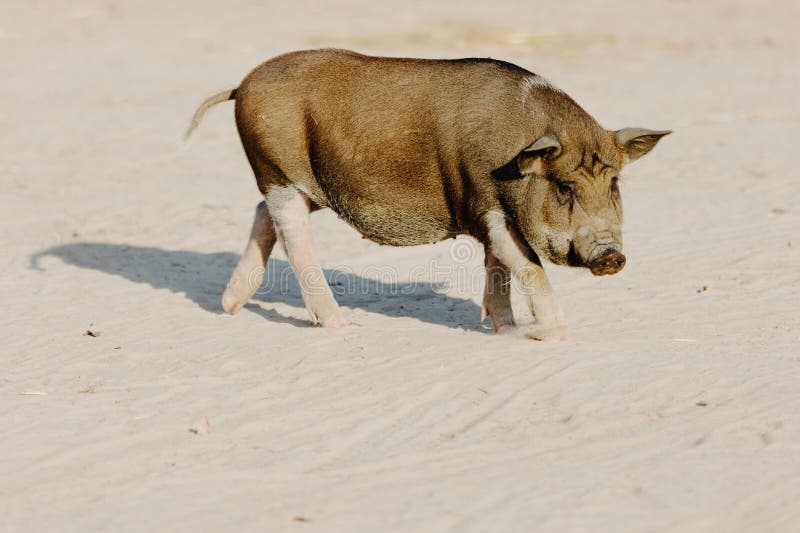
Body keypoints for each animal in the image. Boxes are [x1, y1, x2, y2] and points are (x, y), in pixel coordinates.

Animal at [186, 49, 669, 340]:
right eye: (565, 186)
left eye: (613, 183)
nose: (611, 256)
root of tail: (243, 85)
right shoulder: (482, 201)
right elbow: (528, 265)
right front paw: (541, 332)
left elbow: (501, 268)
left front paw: (504, 327)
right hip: (277, 170)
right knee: (293, 235)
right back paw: (342, 325)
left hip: (307, 186)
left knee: (261, 213)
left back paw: (229, 307)